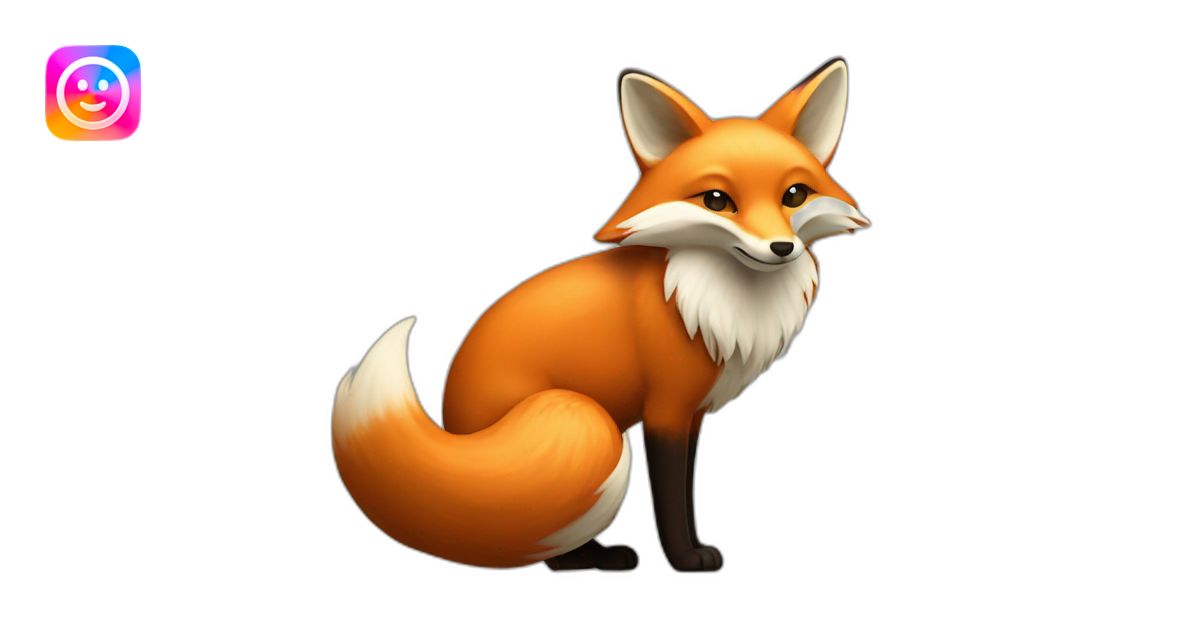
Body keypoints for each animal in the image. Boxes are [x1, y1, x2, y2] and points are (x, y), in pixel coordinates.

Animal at [332, 58, 869, 571]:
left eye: (794, 195)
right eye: (717, 200)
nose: (782, 247)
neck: (709, 297)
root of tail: (454, 436)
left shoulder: (692, 412)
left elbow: (685, 489)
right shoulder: (666, 408)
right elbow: (671, 498)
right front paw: (685, 559)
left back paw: (599, 556)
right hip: (591, 426)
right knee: (542, 538)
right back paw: (584, 561)